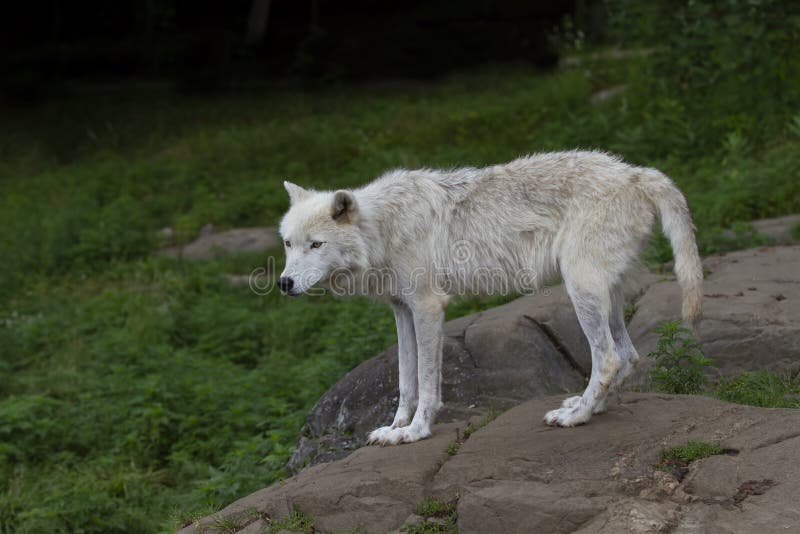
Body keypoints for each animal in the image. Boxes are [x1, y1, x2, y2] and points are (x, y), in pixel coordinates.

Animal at [278, 150, 702, 446]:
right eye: (288, 243)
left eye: (316, 244)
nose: (284, 283)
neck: (384, 227)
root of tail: (636, 172)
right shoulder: (401, 310)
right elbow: (404, 379)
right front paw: (394, 428)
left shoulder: (428, 306)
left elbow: (427, 381)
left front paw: (415, 432)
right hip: (603, 295)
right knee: (628, 356)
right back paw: (590, 407)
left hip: (581, 290)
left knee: (609, 358)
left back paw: (576, 416)